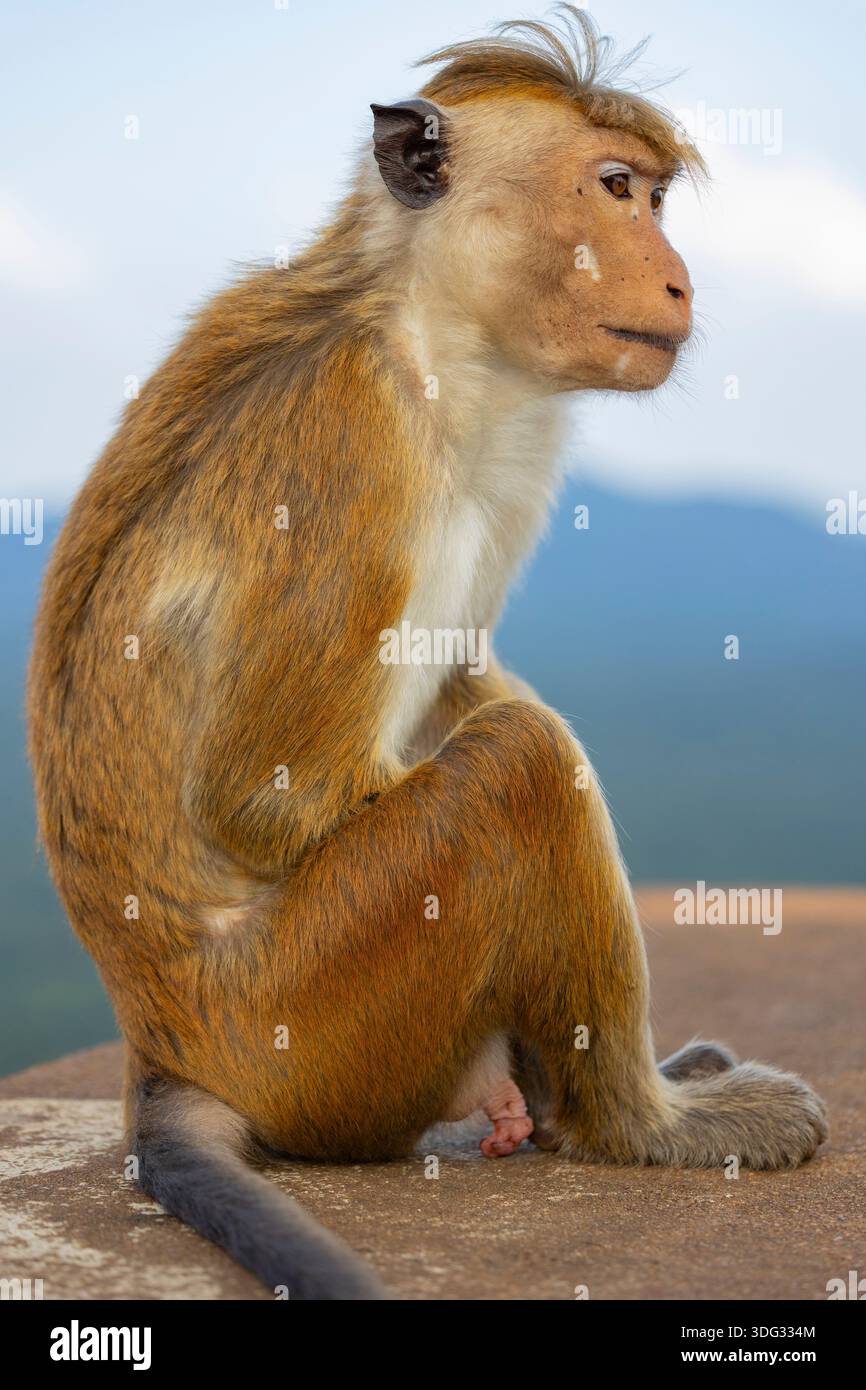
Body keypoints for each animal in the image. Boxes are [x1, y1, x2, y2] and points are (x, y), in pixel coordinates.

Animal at [28, 8, 826, 1301]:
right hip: (313, 1017)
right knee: (517, 767)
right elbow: (266, 794)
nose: (675, 276)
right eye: (614, 189)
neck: (429, 336)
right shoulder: (355, 436)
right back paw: (634, 1122)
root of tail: (162, 1048)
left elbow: (459, 677)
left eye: (651, 197)